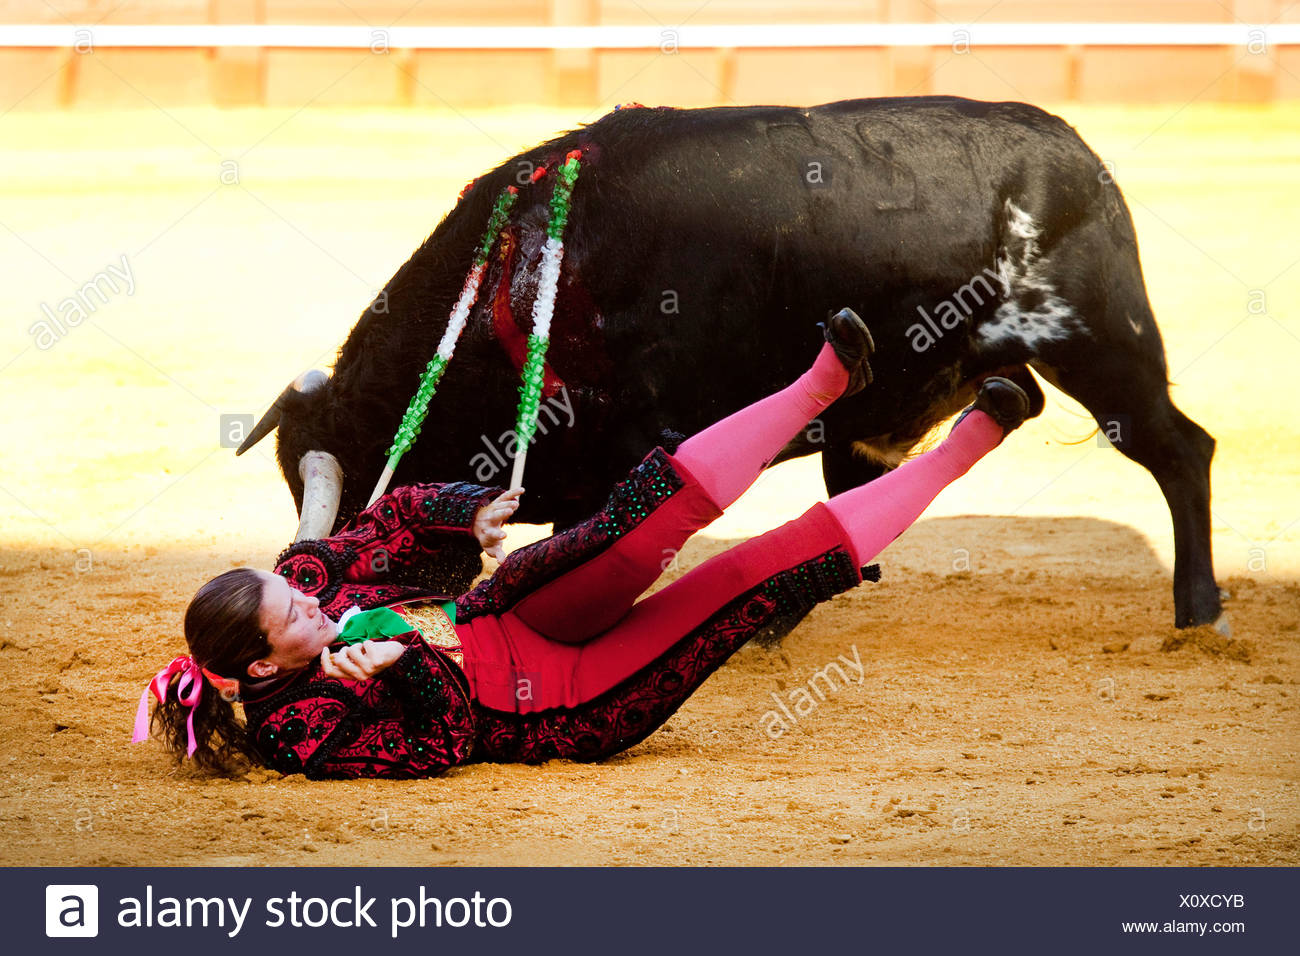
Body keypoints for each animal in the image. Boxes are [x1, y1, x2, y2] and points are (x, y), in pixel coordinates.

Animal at [237, 96, 1222, 631]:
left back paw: (1199, 612)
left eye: (353, 497)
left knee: (1183, 450)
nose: (311, 594)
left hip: (1100, 341)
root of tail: (1075, 151)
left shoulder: (631, 448)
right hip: (910, 412)